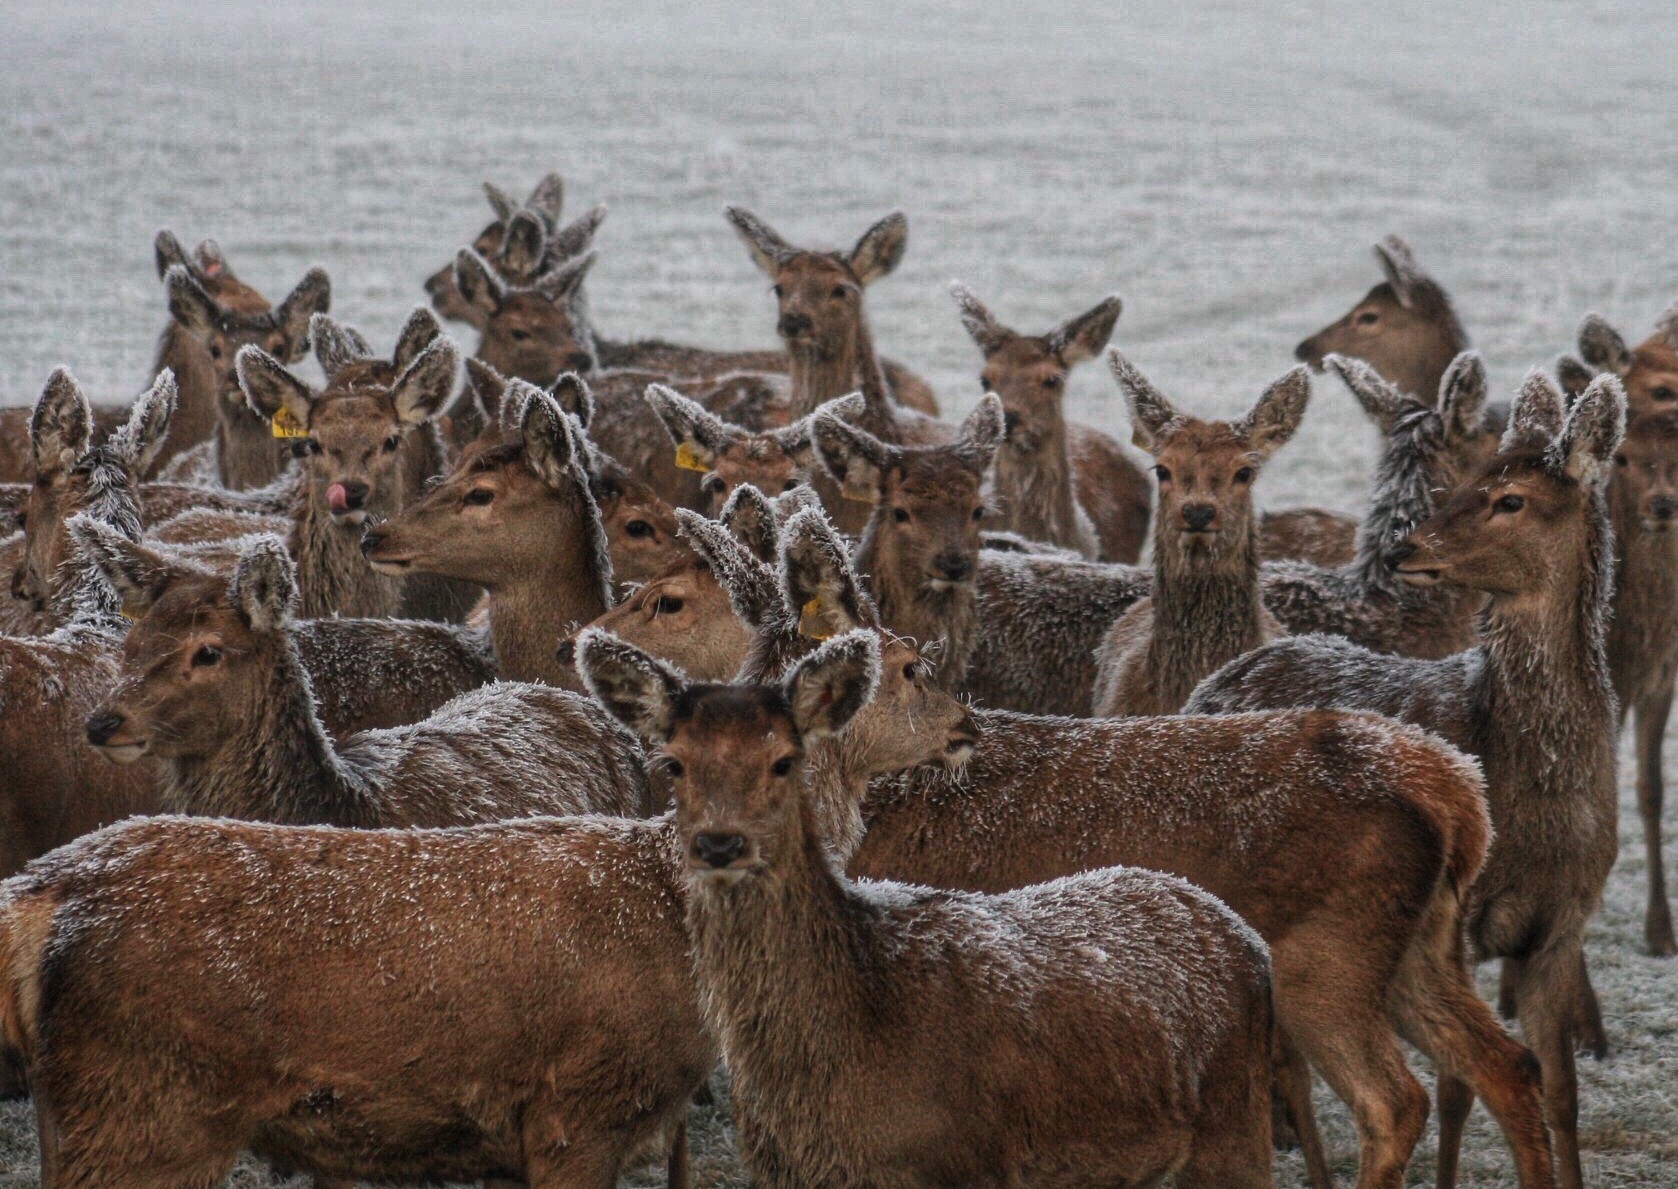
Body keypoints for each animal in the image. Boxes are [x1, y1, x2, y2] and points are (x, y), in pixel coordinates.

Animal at [577, 620, 1275, 1189]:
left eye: (784, 760)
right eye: (674, 764)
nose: (720, 843)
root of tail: (1243, 936)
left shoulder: (969, 1160)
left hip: (1236, 1123)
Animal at [1187, 370, 1626, 1189]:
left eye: (1510, 498)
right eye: (1471, 474)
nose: (1405, 545)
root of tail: (1218, 676)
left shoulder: (1561, 927)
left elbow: (1562, 1093)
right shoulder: (1463, 920)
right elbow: (1457, 1092)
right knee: (1288, 1063)